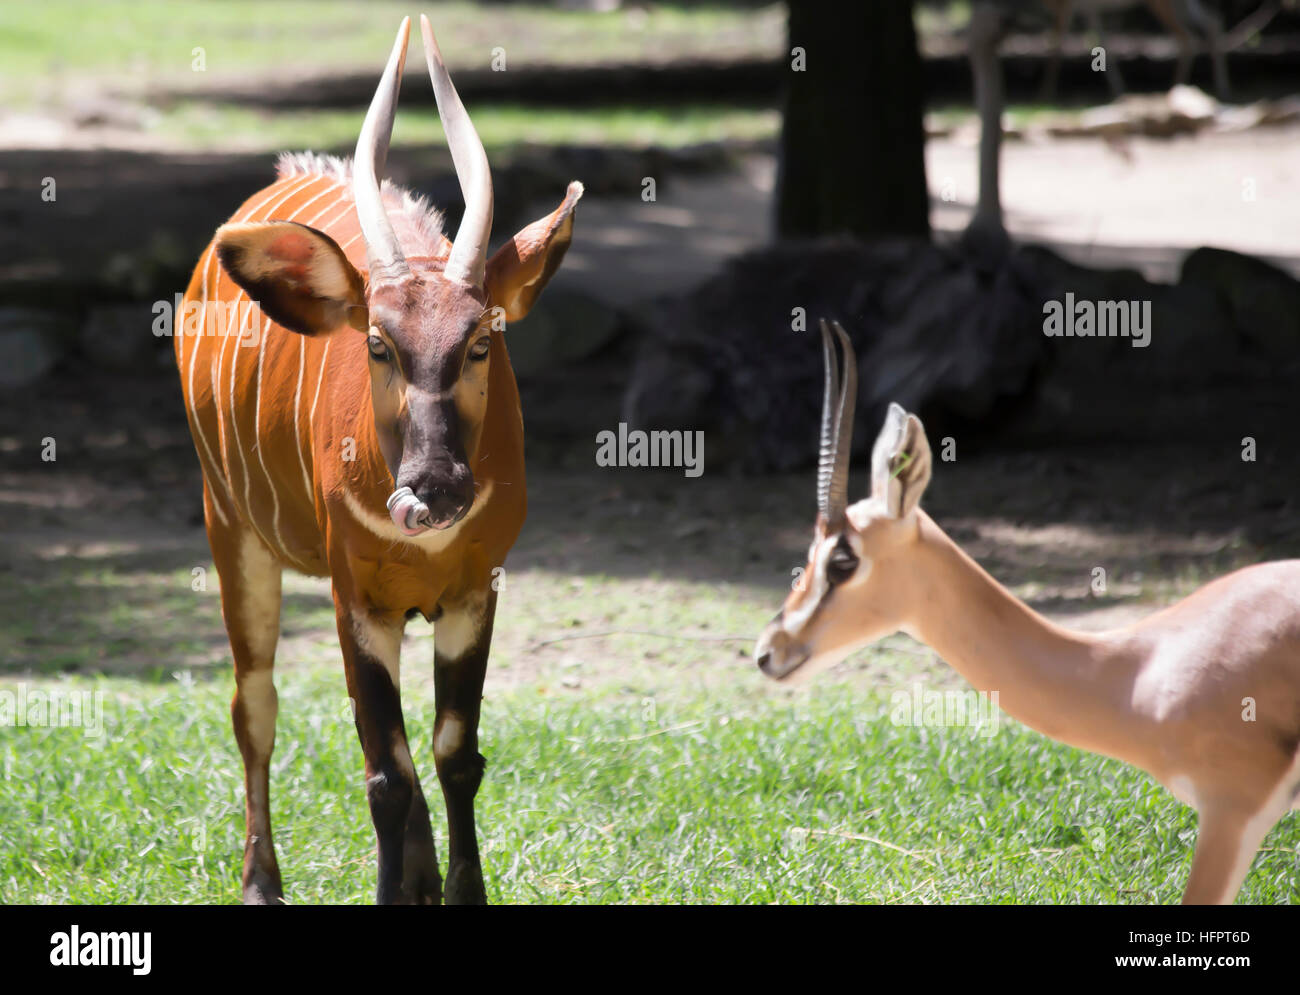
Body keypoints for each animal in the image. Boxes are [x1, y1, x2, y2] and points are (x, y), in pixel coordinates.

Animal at [173, 15, 582, 904]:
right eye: (377, 342)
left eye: (482, 339)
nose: (434, 489)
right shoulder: (356, 595)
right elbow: (386, 772)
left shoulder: (472, 590)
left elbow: (454, 754)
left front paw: (456, 888)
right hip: (233, 529)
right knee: (255, 704)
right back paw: (261, 880)